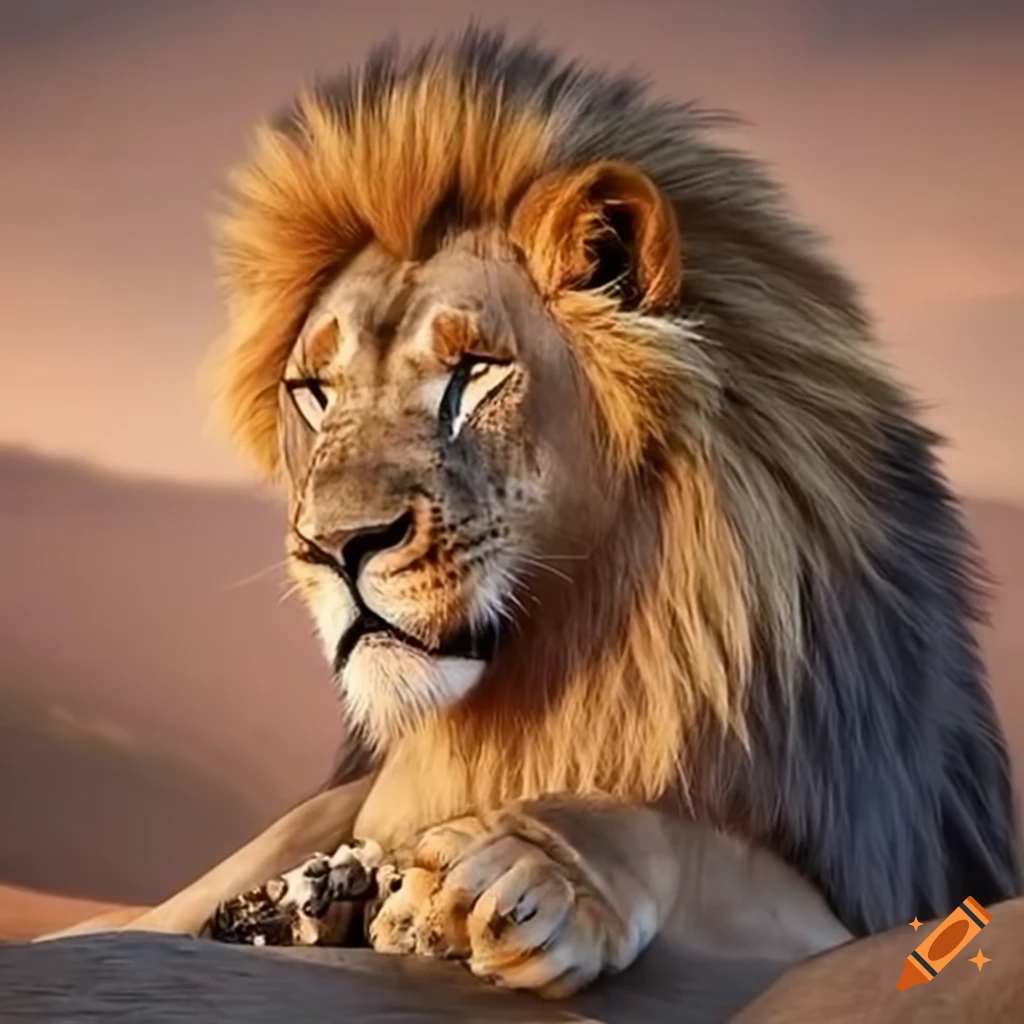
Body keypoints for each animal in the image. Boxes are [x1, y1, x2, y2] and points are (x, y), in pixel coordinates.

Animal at [45, 26, 1021, 1002]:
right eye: (315, 392)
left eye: (474, 373)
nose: (335, 546)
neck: (561, 673)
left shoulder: (885, 888)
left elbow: (696, 839)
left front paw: (524, 866)